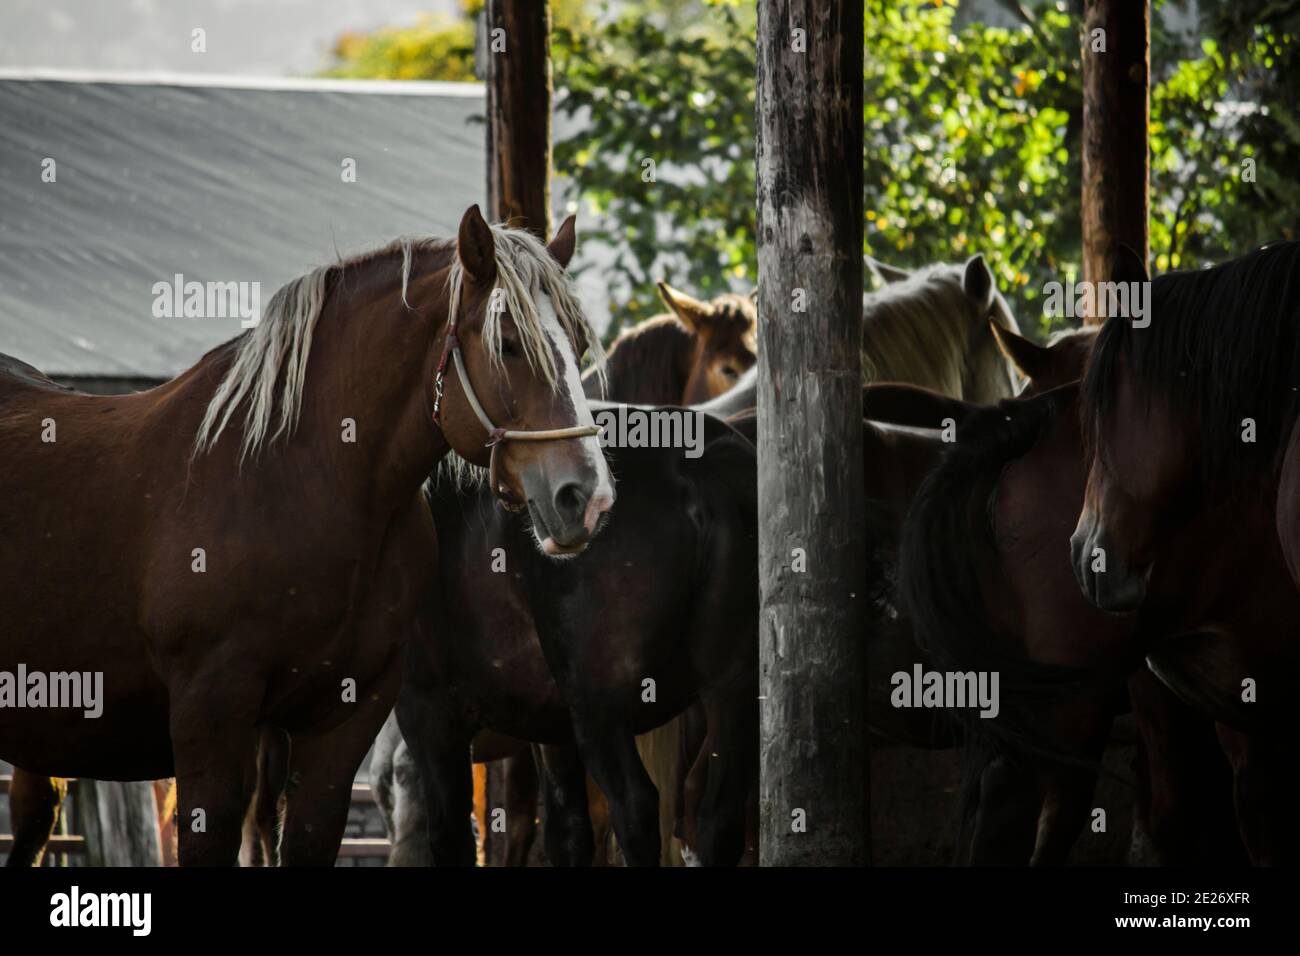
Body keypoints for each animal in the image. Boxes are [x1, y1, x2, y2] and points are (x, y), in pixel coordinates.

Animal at [0, 206, 613, 865]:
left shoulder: (342, 725)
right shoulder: (210, 721)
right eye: (508, 344)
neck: (297, 483)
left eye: (577, 346)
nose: (585, 496)